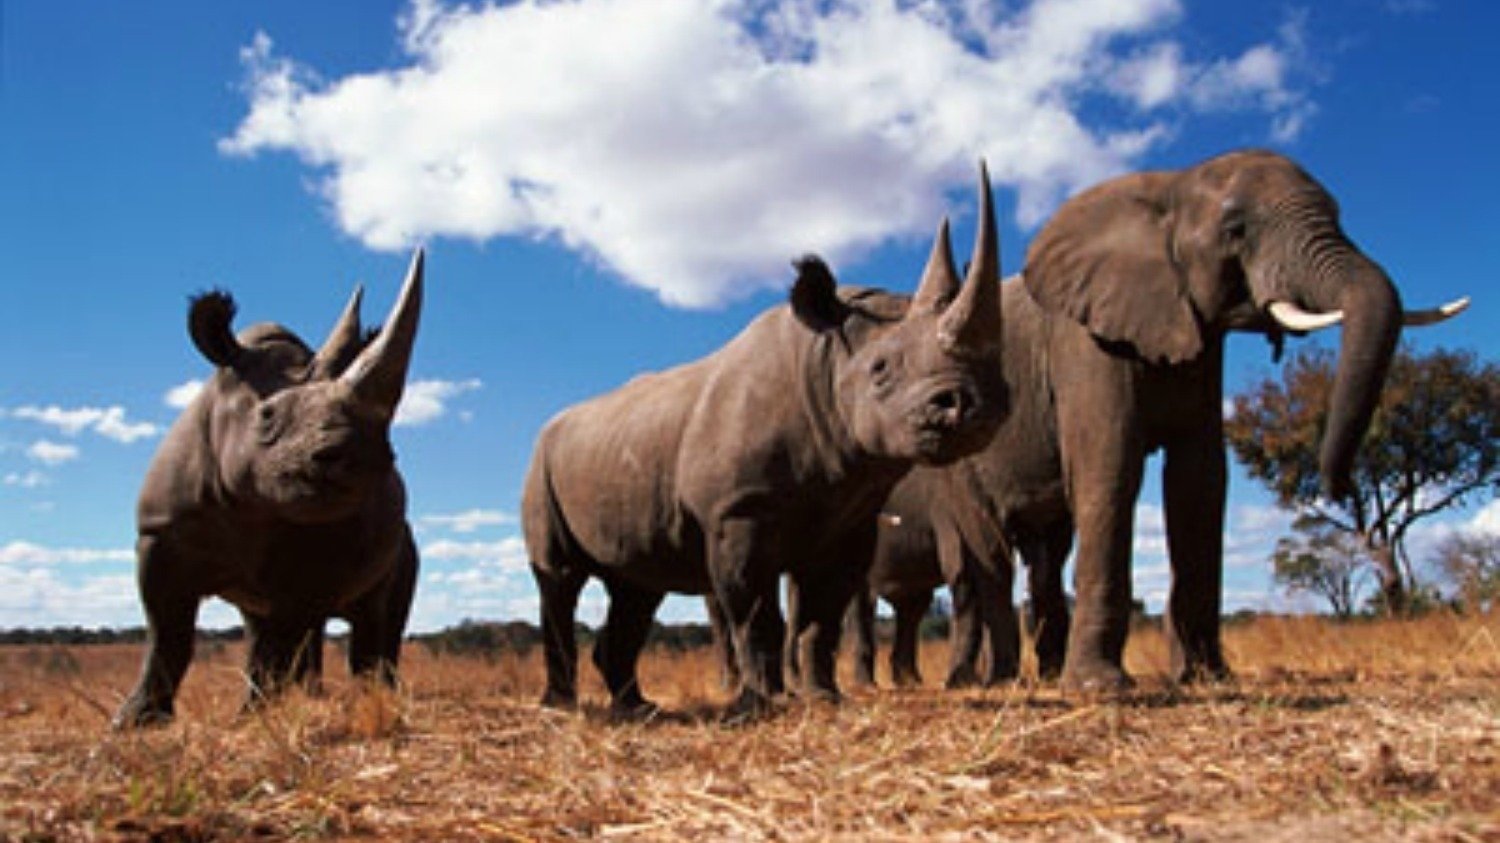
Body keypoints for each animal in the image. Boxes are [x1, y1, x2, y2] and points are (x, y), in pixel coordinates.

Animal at [114, 251, 425, 728]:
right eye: (266, 415)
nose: (363, 456)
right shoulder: (160, 530)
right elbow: (167, 632)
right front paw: (136, 722)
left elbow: (289, 634)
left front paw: (278, 712)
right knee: (268, 622)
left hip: (405, 543)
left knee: (374, 617)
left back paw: (375, 699)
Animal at [522, 167, 1008, 718]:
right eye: (880, 370)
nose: (974, 406)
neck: (824, 360)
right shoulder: (738, 510)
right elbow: (757, 615)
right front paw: (763, 704)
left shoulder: (848, 518)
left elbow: (822, 617)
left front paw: (823, 697)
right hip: (541, 463)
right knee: (559, 578)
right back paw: (561, 707)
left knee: (637, 585)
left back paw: (637, 708)